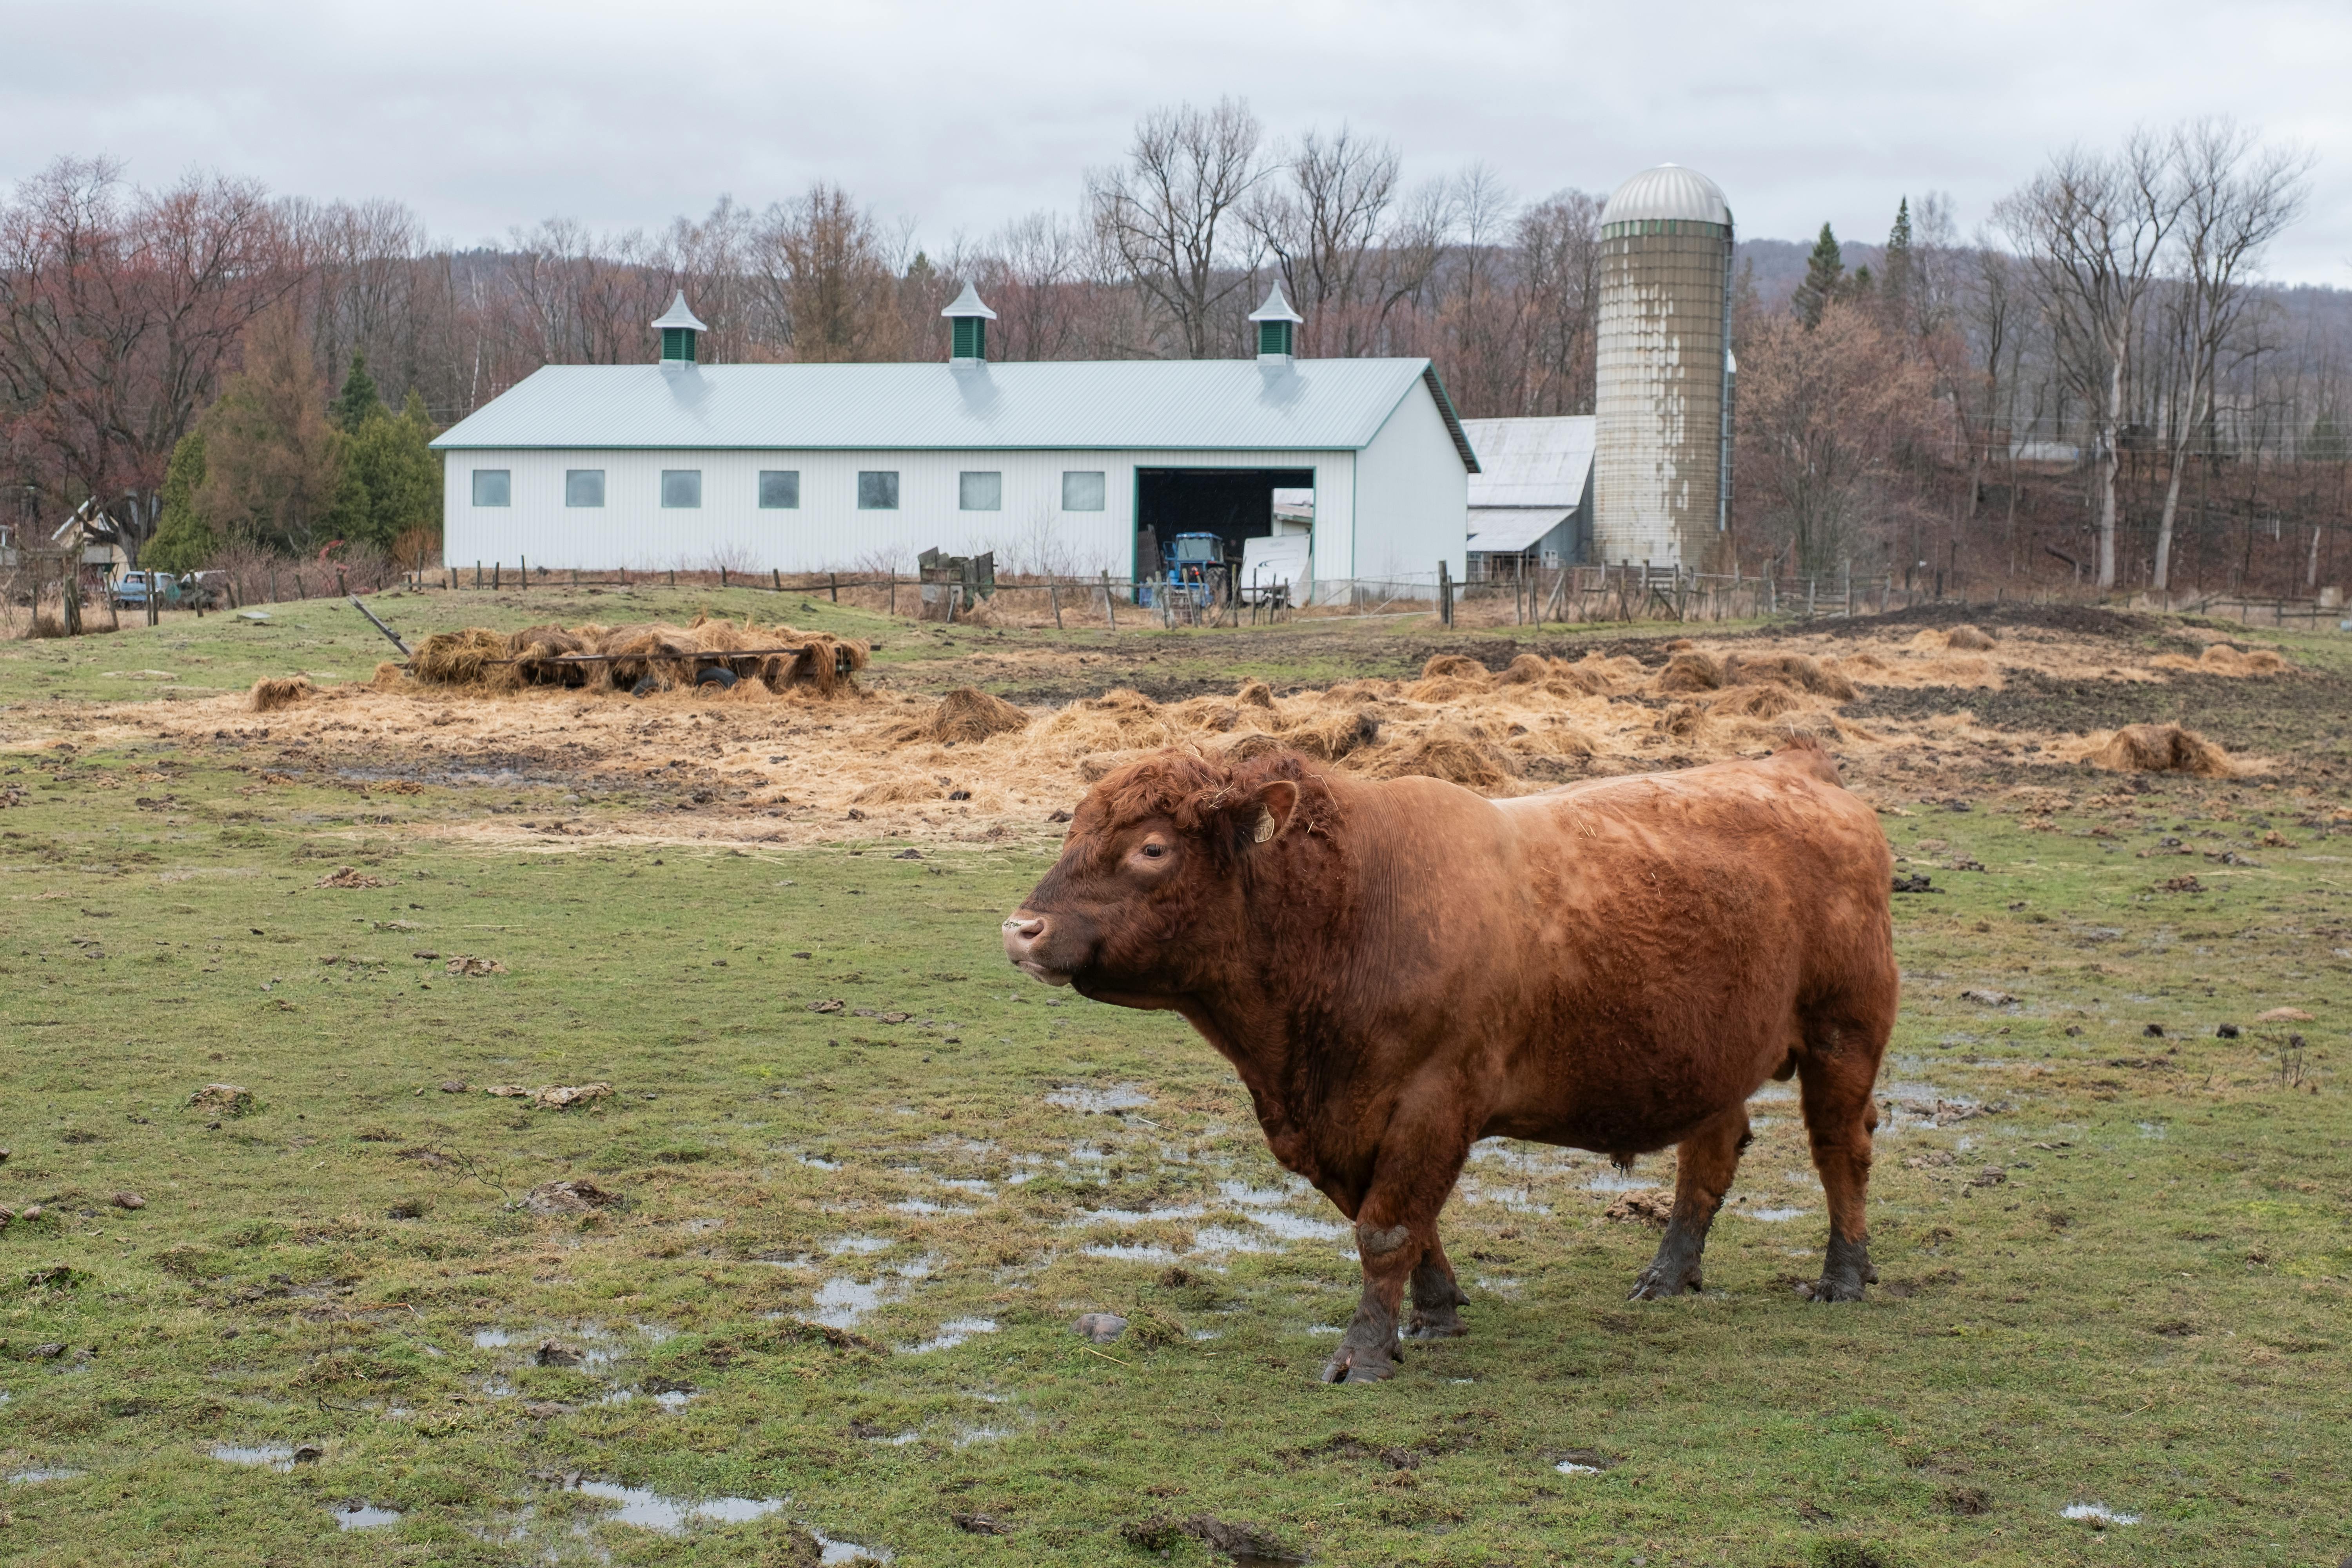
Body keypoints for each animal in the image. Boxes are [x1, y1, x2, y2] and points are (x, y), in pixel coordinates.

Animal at [1002, 737, 1898, 1383]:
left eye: (1151, 848)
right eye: (1074, 829)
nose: (1022, 930)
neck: (1351, 909)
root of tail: (1801, 768)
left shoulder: (1434, 1101)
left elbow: (1387, 1227)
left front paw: (1365, 1352)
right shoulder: (1341, 1123)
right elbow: (1402, 1220)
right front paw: (1435, 1313)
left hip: (1843, 1035)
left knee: (1841, 1150)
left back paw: (1845, 1276)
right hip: (1711, 1054)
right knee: (1708, 1157)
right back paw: (1668, 1275)